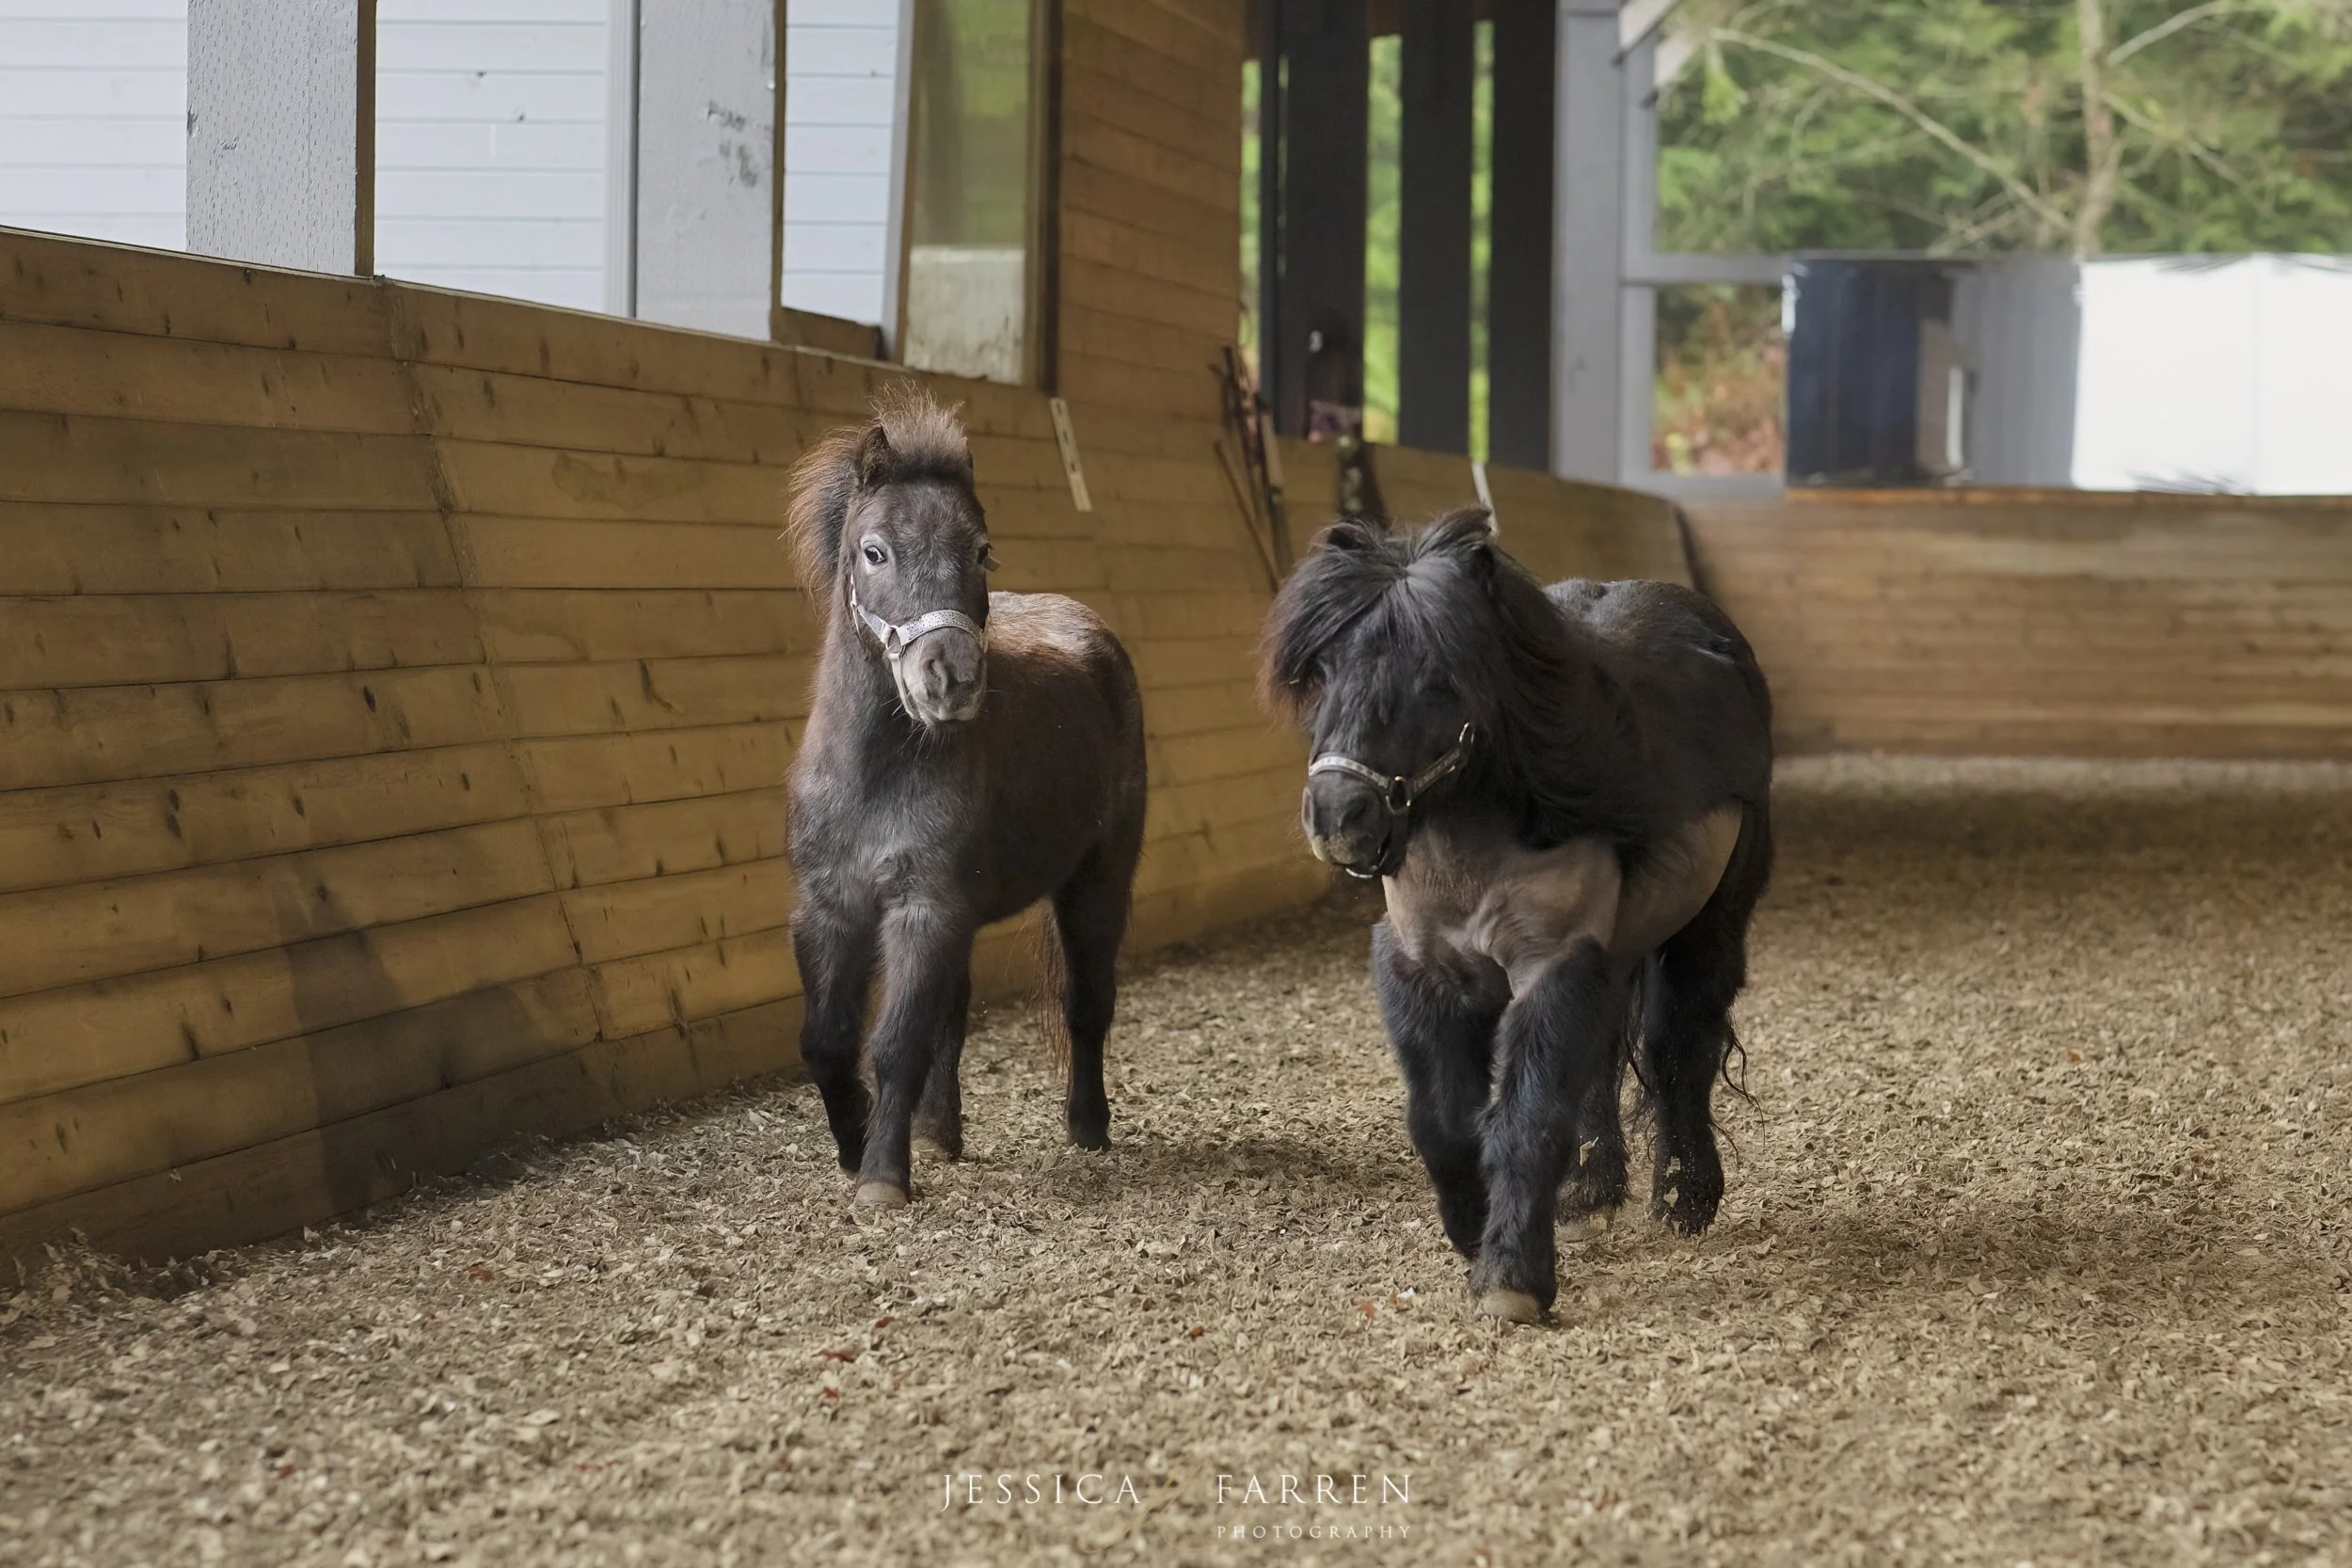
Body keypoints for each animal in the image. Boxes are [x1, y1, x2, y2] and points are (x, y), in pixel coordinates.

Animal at [784, 388, 1148, 1209]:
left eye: (981, 550)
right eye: (874, 551)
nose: (950, 682)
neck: (875, 775)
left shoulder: (926, 909)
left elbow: (896, 1041)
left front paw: (882, 1178)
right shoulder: (832, 906)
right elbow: (828, 1040)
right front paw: (857, 1144)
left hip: (1097, 881)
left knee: (1087, 1001)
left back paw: (1088, 1126)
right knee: (953, 1015)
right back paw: (936, 1132)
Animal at [1261, 508, 1774, 1322]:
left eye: (1439, 677)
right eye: (1327, 669)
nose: (1340, 815)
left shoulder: (1553, 966)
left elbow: (1529, 1115)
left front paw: (1512, 1274)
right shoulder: (1424, 971)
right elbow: (1443, 1120)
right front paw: (1473, 1227)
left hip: (1707, 927)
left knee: (1678, 1047)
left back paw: (1684, 1195)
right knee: (1607, 1058)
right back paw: (1592, 1188)